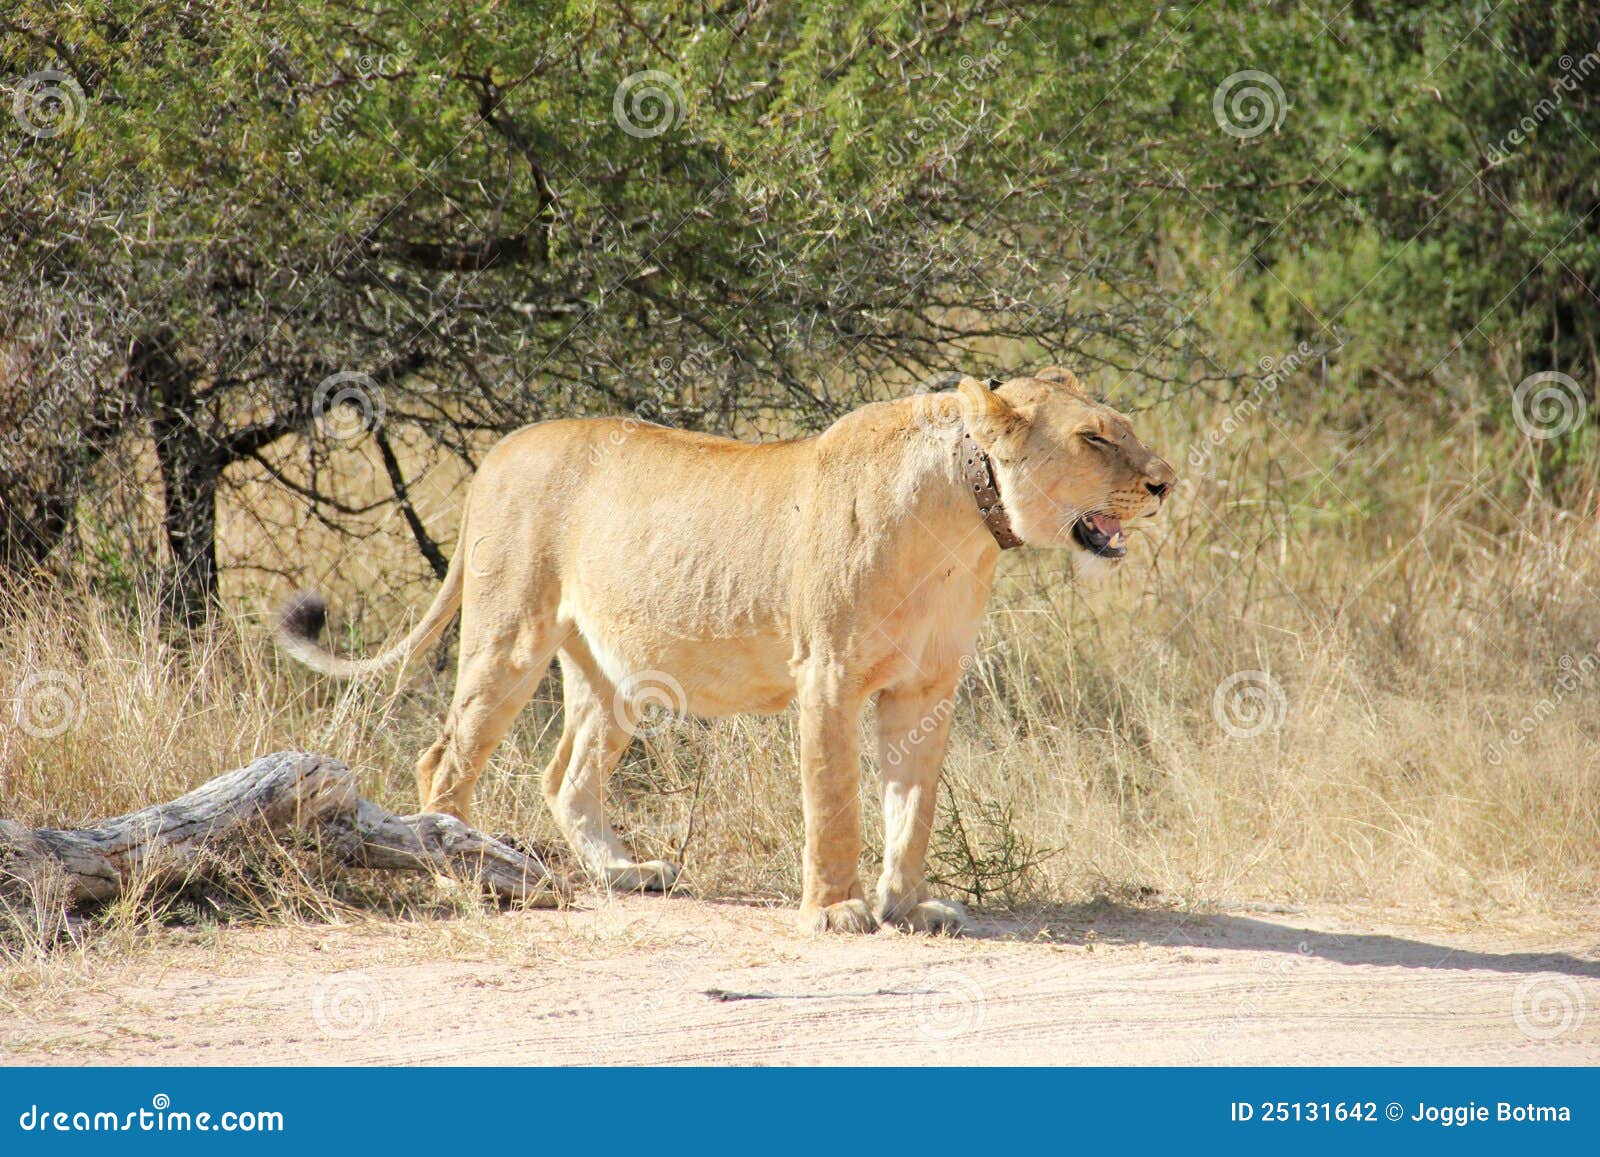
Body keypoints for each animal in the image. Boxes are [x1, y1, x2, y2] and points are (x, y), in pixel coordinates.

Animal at [277, 369, 1176, 934]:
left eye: (1127, 433)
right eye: (1096, 439)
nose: (1166, 481)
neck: (965, 519)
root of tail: (498, 449)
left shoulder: (927, 687)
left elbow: (911, 807)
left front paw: (910, 907)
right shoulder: (829, 674)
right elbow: (836, 802)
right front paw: (835, 909)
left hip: (614, 670)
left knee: (564, 774)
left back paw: (624, 872)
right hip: (509, 636)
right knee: (444, 760)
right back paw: (451, 872)